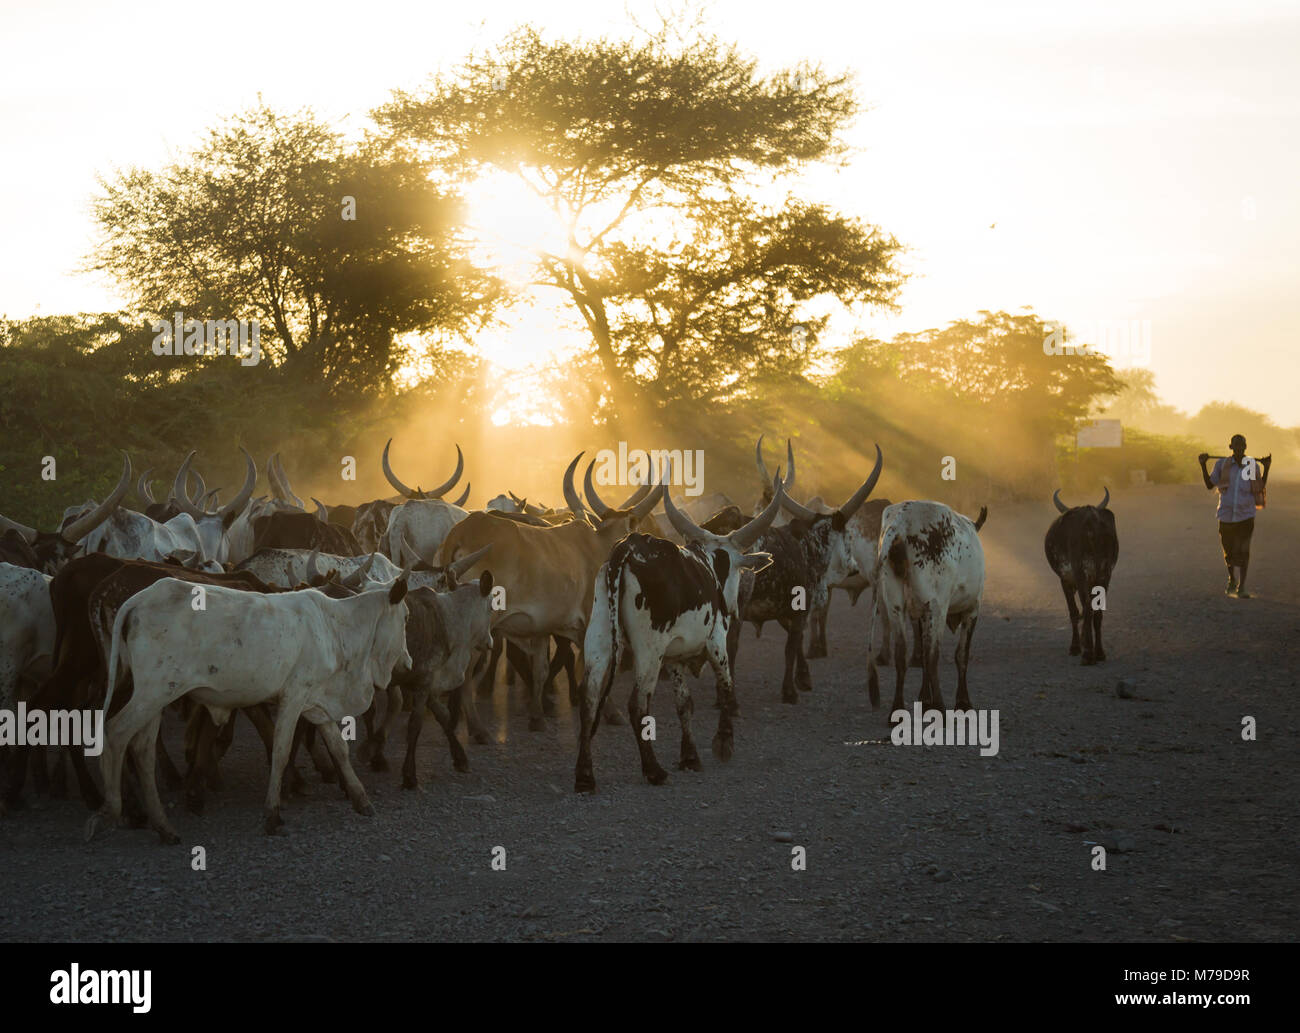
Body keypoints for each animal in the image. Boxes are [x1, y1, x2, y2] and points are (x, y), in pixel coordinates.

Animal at [90, 573, 414, 843]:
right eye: (407, 617)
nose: (409, 662)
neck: (336, 629)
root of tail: (140, 598)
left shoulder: (317, 702)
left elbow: (339, 750)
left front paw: (361, 799)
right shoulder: (294, 696)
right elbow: (281, 752)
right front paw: (272, 814)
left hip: (157, 698)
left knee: (143, 749)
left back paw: (163, 826)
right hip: (153, 692)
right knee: (116, 733)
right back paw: (111, 810)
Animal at [573, 476, 785, 792]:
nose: (733, 607)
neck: (712, 565)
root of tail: (625, 551)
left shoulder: (673, 659)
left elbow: (684, 703)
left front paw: (690, 756)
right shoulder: (716, 643)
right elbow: (726, 685)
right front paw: (723, 743)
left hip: (598, 642)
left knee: (588, 700)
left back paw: (585, 776)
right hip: (649, 650)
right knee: (637, 703)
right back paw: (653, 771)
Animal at [867, 501, 987, 715]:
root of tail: (900, 525)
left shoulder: (919, 614)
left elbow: (920, 652)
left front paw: (924, 698)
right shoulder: (972, 609)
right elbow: (961, 655)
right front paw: (963, 702)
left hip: (895, 603)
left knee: (902, 653)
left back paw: (897, 709)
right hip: (936, 606)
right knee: (932, 657)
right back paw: (939, 707)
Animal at [1045, 488, 1118, 665]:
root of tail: (1091, 519)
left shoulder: (1065, 579)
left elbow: (1074, 611)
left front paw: (1076, 647)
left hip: (1081, 574)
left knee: (1086, 609)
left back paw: (1088, 654)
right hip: (1104, 574)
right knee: (1096, 612)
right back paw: (1099, 652)